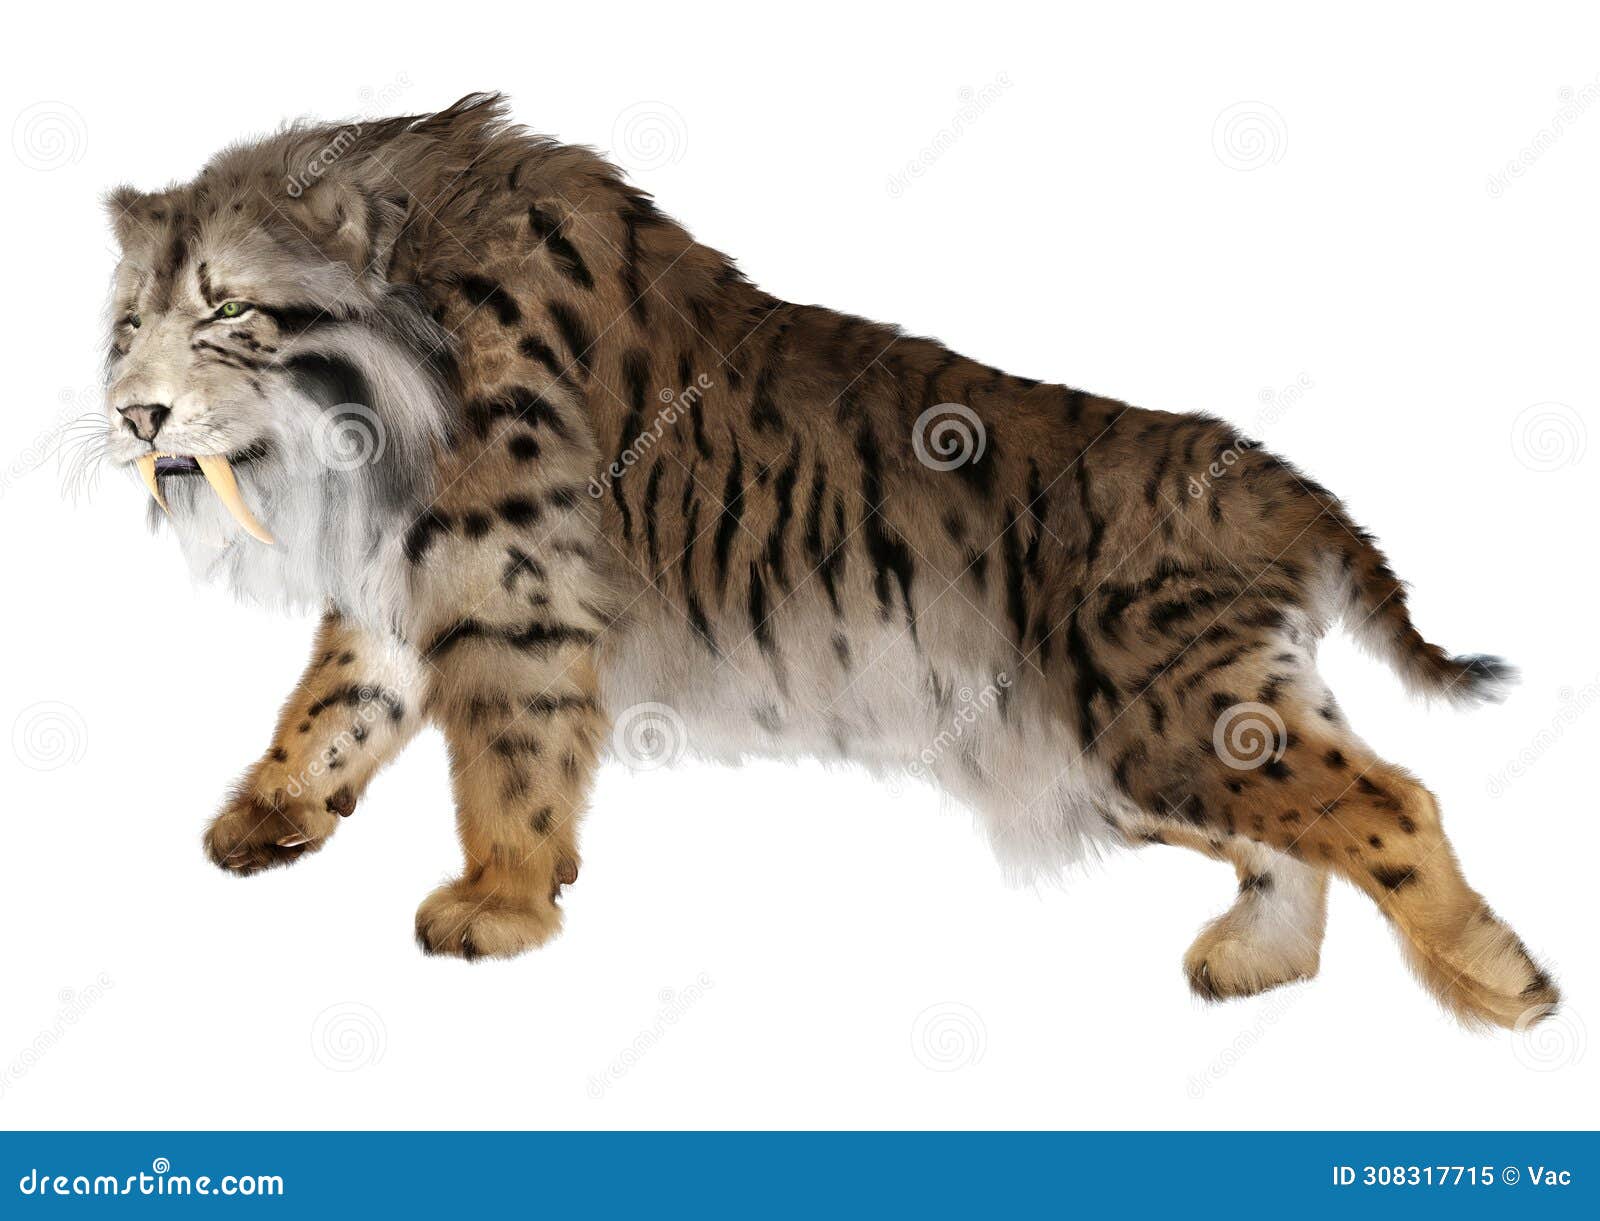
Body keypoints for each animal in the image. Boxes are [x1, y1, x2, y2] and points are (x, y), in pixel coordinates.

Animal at [97, 93, 1558, 1029]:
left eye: (226, 312)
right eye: (127, 324)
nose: (134, 417)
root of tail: (1270, 477)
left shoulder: (512, 598)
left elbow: (502, 766)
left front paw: (501, 906)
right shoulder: (409, 595)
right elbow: (331, 712)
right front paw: (272, 814)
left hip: (1158, 714)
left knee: (1394, 805)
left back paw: (1504, 988)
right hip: (1137, 736)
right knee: (1303, 828)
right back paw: (1263, 960)